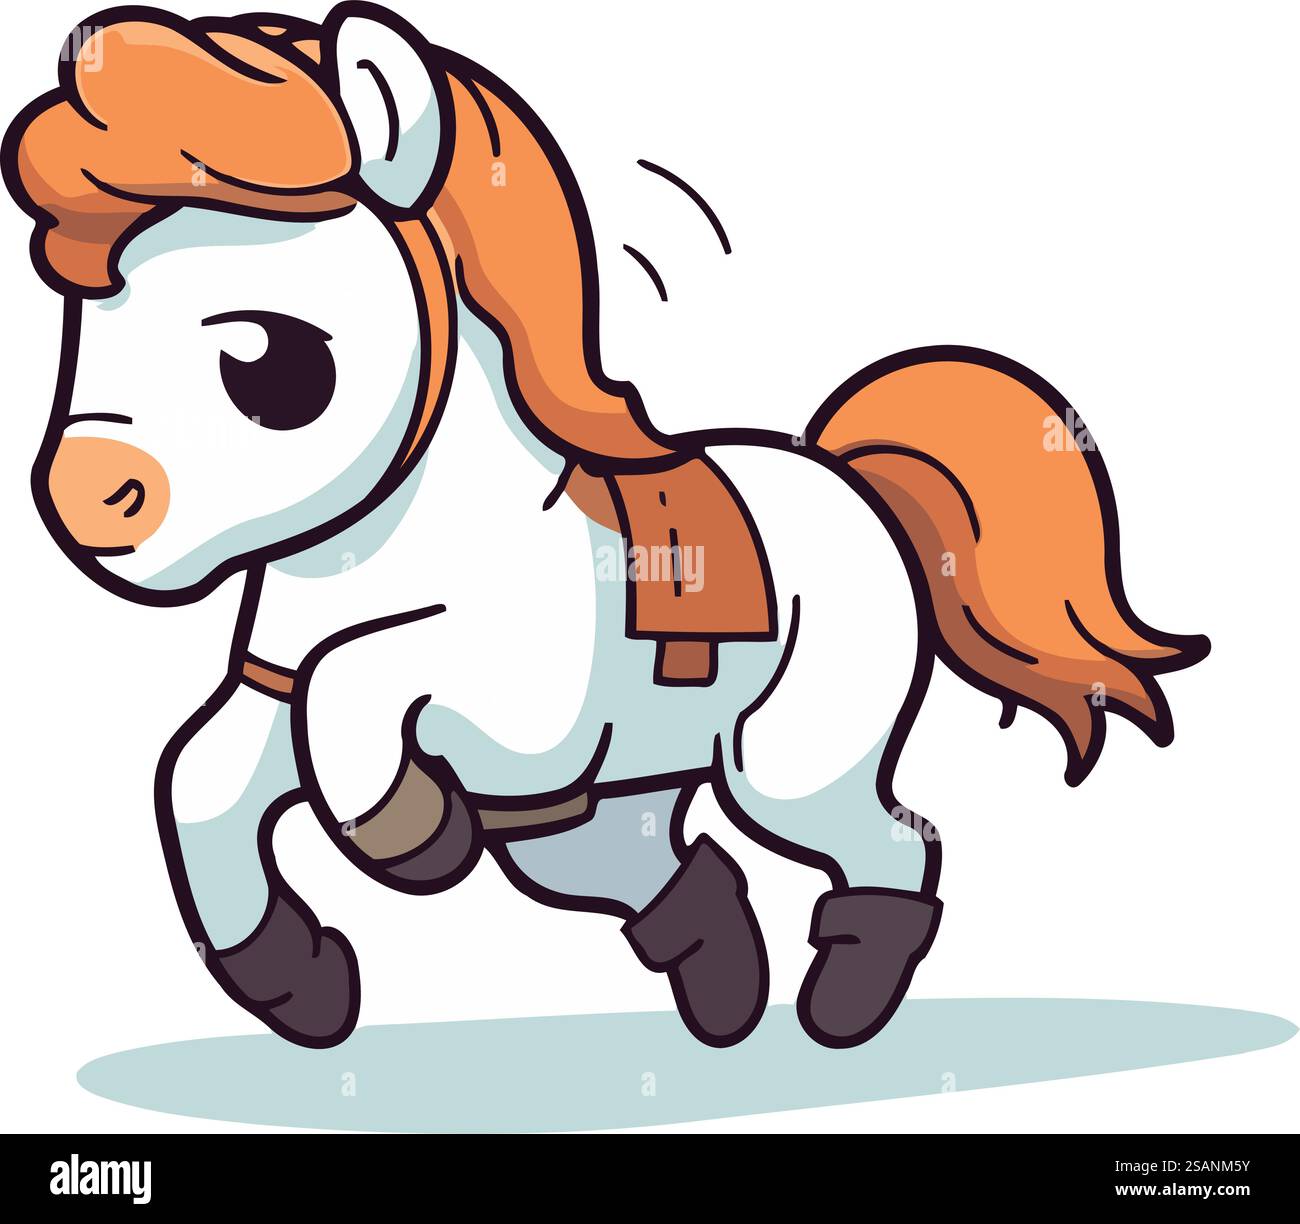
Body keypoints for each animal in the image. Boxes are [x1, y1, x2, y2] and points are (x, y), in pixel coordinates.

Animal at [3, 3, 1209, 1049]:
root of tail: (850, 482)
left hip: (780, 762)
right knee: (646, 863)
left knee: (894, 839)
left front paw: (409, 841)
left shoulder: (514, 716)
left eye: (266, 360)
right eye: (86, 317)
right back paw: (726, 989)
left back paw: (842, 1003)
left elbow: (359, 687)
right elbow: (198, 780)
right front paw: (302, 986)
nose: (85, 498)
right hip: (597, 795)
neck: (383, 554)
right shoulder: (277, 688)